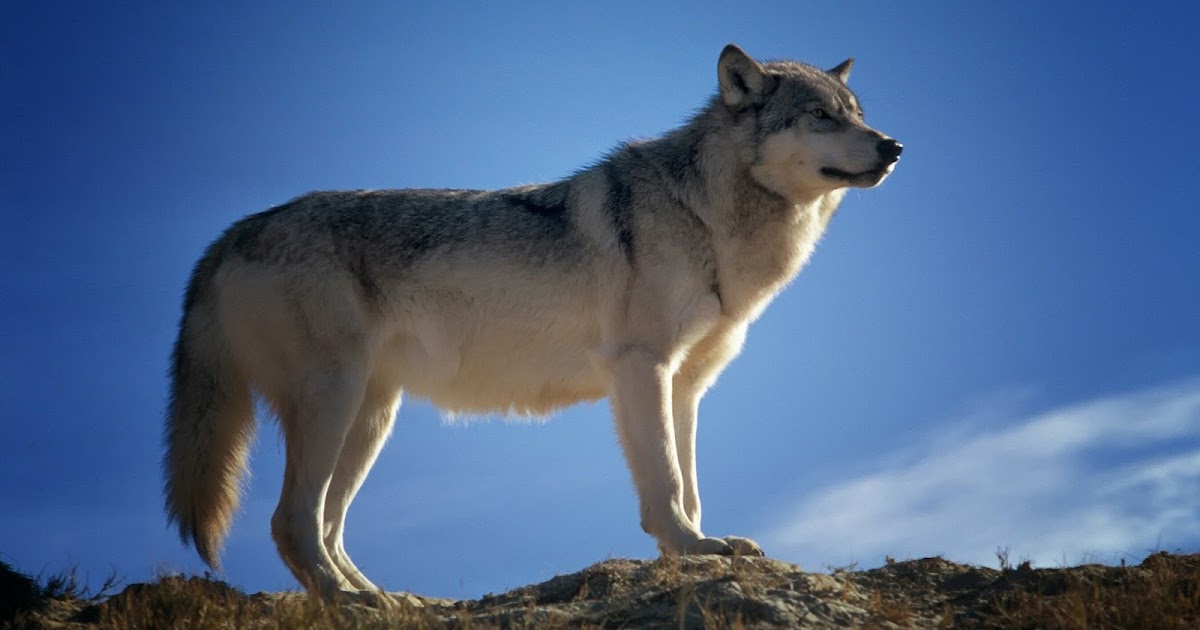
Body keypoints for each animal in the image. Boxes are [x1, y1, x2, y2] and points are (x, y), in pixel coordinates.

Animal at [163, 44, 902, 598]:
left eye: (857, 115)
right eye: (820, 117)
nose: (893, 147)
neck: (705, 215)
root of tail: (229, 235)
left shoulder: (686, 385)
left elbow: (689, 484)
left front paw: (699, 547)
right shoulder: (641, 368)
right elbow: (665, 482)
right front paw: (691, 550)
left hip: (371, 418)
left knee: (326, 525)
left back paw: (385, 599)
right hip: (334, 402)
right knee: (291, 522)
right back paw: (349, 602)